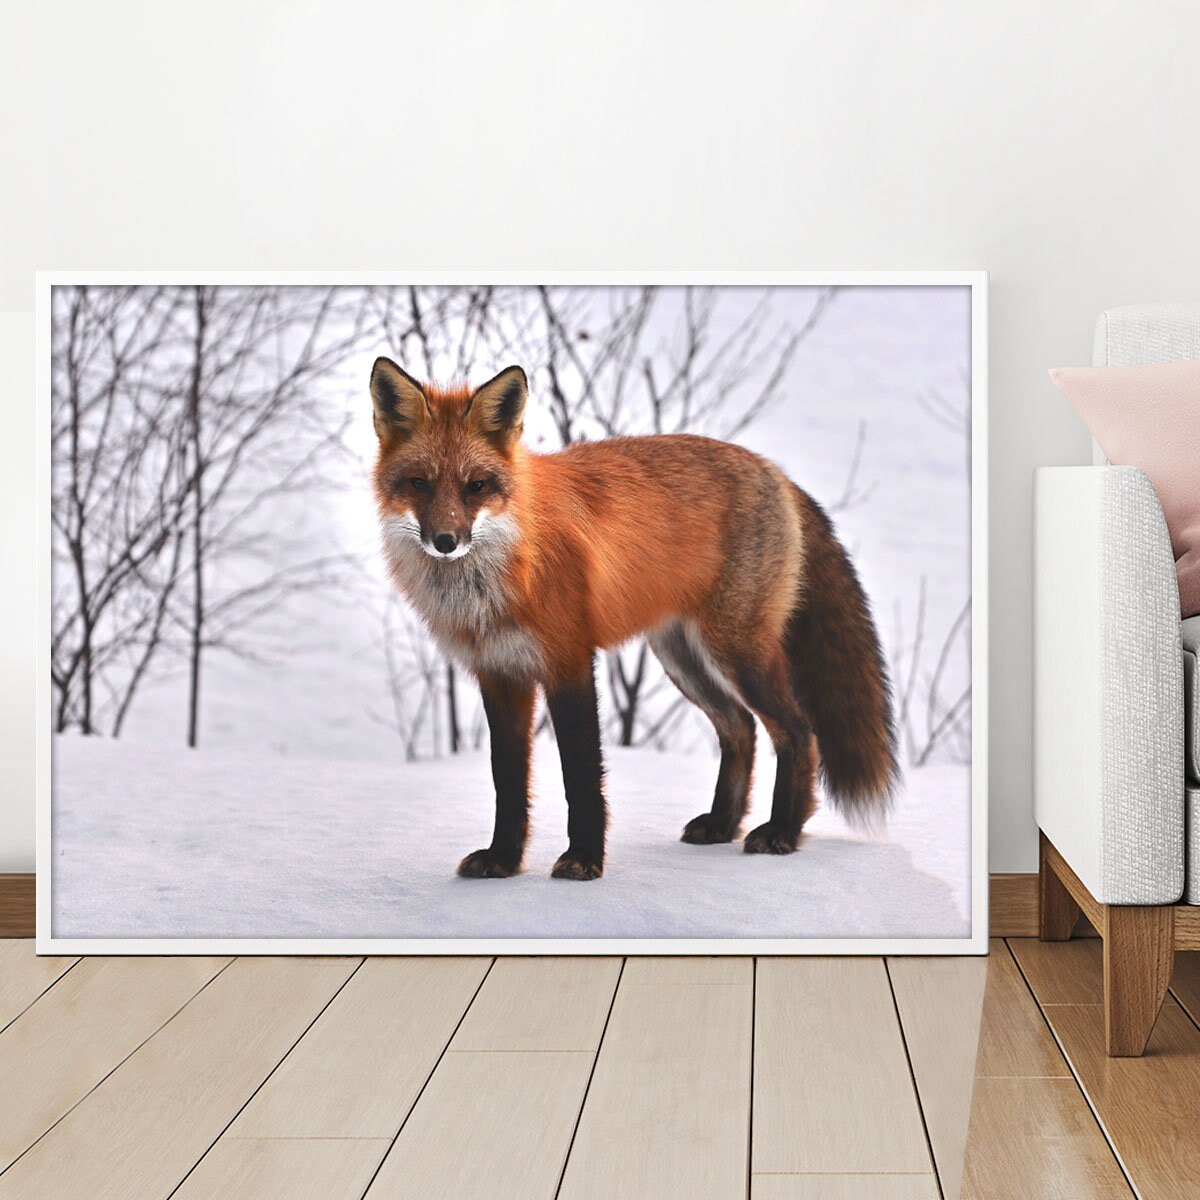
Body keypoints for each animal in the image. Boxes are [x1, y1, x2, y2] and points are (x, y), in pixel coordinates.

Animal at [370, 357, 897, 881]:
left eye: (476, 486)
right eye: (419, 483)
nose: (445, 541)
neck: (502, 572)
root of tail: (774, 470)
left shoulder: (568, 662)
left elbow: (581, 776)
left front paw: (584, 859)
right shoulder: (499, 674)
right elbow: (509, 782)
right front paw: (503, 859)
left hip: (737, 652)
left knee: (798, 732)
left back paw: (783, 831)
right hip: (683, 658)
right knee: (741, 728)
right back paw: (722, 824)